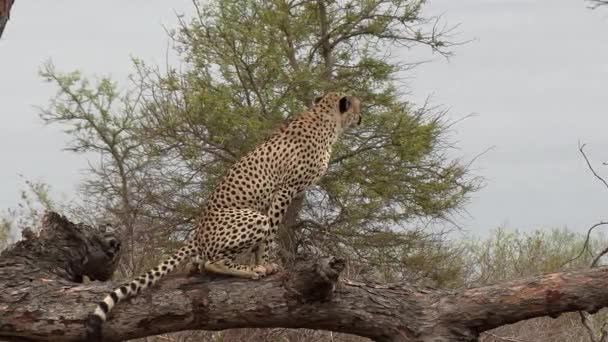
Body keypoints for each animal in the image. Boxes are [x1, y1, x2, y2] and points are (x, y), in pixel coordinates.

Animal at [85, 91, 360, 340]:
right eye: (358, 105)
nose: (361, 117)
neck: (326, 120)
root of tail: (198, 233)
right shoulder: (284, 190)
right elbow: (271, 233)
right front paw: (265, 264)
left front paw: (263, 262)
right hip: (252, 218)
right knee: (212, 261)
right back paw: (247, 270)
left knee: (201, 263)